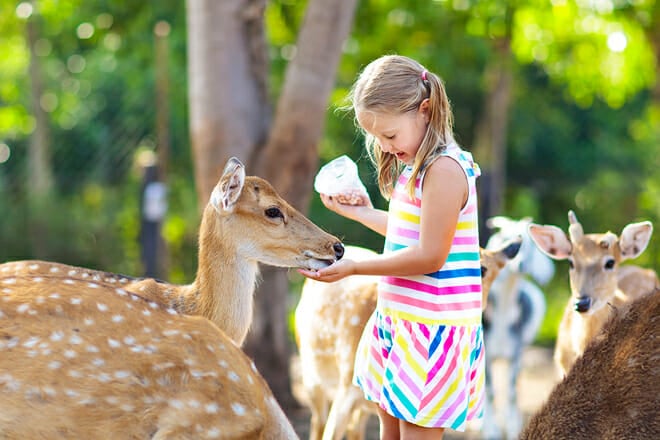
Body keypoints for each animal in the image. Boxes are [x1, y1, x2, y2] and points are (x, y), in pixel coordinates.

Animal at [480, 216, 555, 440]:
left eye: (532, 245)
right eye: (503, 236)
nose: (520, 264)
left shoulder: (516, 354)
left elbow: (511, 392)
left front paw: (513, 428)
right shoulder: (486, 355)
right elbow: (490, 391)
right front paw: (491, 431)